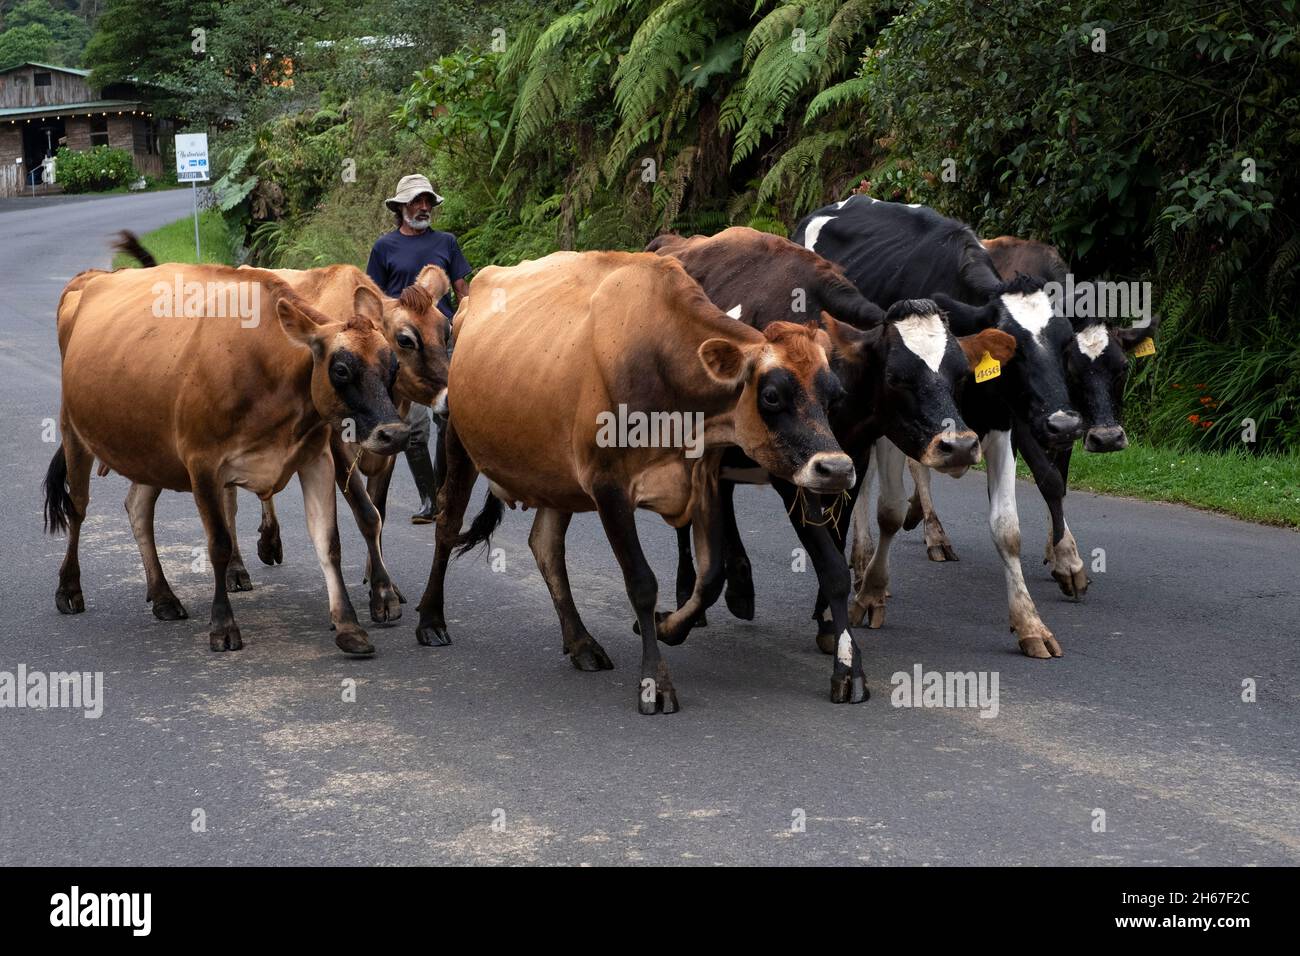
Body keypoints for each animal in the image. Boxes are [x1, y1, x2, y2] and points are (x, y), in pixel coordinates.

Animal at [44, 260, 409, 655]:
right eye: (340, 369)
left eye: (393, 368)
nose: (395, 434)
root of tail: (93, 276)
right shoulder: (202, 463)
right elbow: (218, 545)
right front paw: (223, 625)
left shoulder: (317, 459)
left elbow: (330, 542)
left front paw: (349, 627)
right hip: (73, 431)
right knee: (77, 508)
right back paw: (69, 588)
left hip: (151, 451)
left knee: (138, 508)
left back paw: (163, 596)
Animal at [110, 233, 452, 630]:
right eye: (406, 340)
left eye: (447, 332)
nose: (451, 396)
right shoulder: (335, 446)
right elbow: (367, 515)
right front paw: (381, 596)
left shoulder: (388, 446)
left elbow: (378, 513)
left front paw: (382, 583)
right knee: (228, 500)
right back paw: (240, 565)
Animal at [414, 249, 857, 714]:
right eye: (771, 395)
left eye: (834, 396)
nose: (837, 468)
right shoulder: (608, 487)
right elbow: (642, 583)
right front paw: (655, 682)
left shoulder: (703, 483)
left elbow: (710, 578)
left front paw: (667, 627)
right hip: (457, 438)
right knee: (448, 525)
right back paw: (431, 619)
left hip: (553, 474)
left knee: (545, 546)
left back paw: (581, 643)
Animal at [647, 228, 1014, 700]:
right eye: (896, 377)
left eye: (962, 375)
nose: (961, 446)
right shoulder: (796, 475)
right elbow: (832, 564)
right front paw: (847, 666)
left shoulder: (850, 463)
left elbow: (836, 550)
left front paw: (827, 625)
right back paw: (689, 590)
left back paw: (741, 585)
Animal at [796, 195, 1086, 659]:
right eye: (1015, 348)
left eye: (1065, 344)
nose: (1064, 423)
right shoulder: (890, 421)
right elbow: (889, 512)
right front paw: (871, 594)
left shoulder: (1000, 423)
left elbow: (1008, 529)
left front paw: (1030, 624)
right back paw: (862, 563)